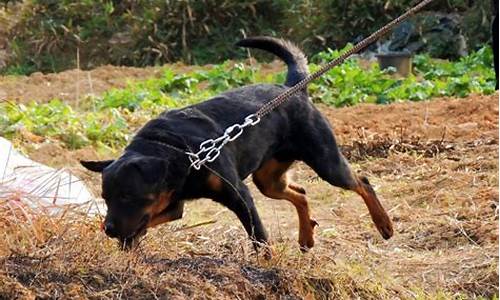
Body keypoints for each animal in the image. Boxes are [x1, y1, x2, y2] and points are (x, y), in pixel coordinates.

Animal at [81, 37, 394, 253]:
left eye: (127, 196)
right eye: (106, 198)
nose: (108, 229)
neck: (178, 153)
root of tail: (292, 88)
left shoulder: (240, 196)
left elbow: (260, 238)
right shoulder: (172, 204)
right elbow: (145, 222)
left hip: (326, 162)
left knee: (362, 181)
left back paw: (384, 224)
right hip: (268, 180)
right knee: (301, 193)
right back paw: (306, 237)